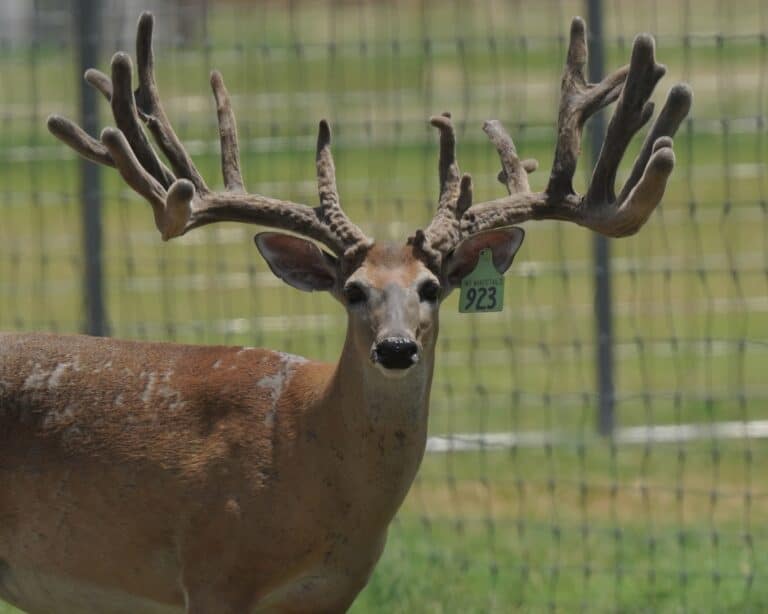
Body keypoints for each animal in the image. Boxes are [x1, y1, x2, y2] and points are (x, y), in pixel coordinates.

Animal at [0, 13, 691, 614]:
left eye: (431, 287)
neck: (308, 454)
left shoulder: (338, 589)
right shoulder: (212, 568)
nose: (395, 348)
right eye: (353, 290)